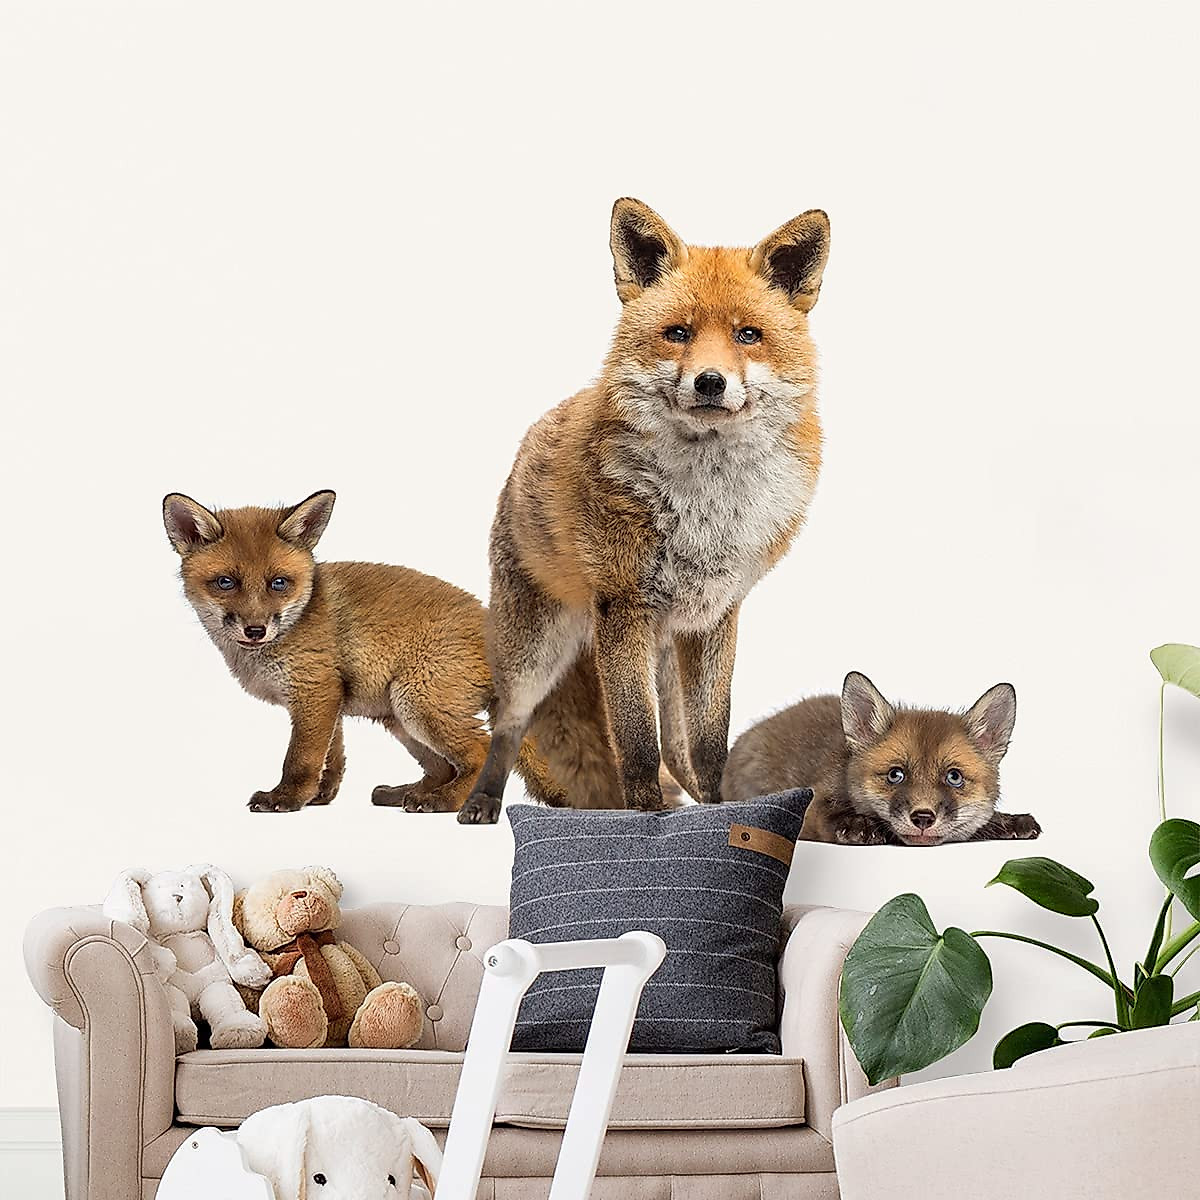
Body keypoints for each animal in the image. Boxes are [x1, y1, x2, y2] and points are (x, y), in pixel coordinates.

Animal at [162, 489, 573, 814]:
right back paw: (407, 792)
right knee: (442, 768)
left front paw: (287, 799)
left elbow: (301, 759)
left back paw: (442, 801)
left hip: (417, 702)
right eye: (225, 582)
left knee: (478, 752)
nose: (255, 630)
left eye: (278, 583)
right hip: (399, 717)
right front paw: (319, 797)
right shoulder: (331, 698)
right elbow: (333, 758)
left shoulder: (315, 692)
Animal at [458, 198, 830, 824]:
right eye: (677, 334)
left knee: (676, 748)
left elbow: (709, 744)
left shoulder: (714, 615)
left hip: (663, 650)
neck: (707, 507)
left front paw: (720, 808)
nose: (710, 382)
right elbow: (634, 742)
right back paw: (483, 799)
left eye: (747, 335)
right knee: (509, 721)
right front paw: (645, 818)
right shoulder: (623, 608)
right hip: (536, 647)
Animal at [721, 671, 1042, 846]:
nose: (923, 818)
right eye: (895, 775)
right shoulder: (816, 803)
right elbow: (830, 816)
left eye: (954, 777)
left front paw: (1010, 821)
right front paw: (859, 825)